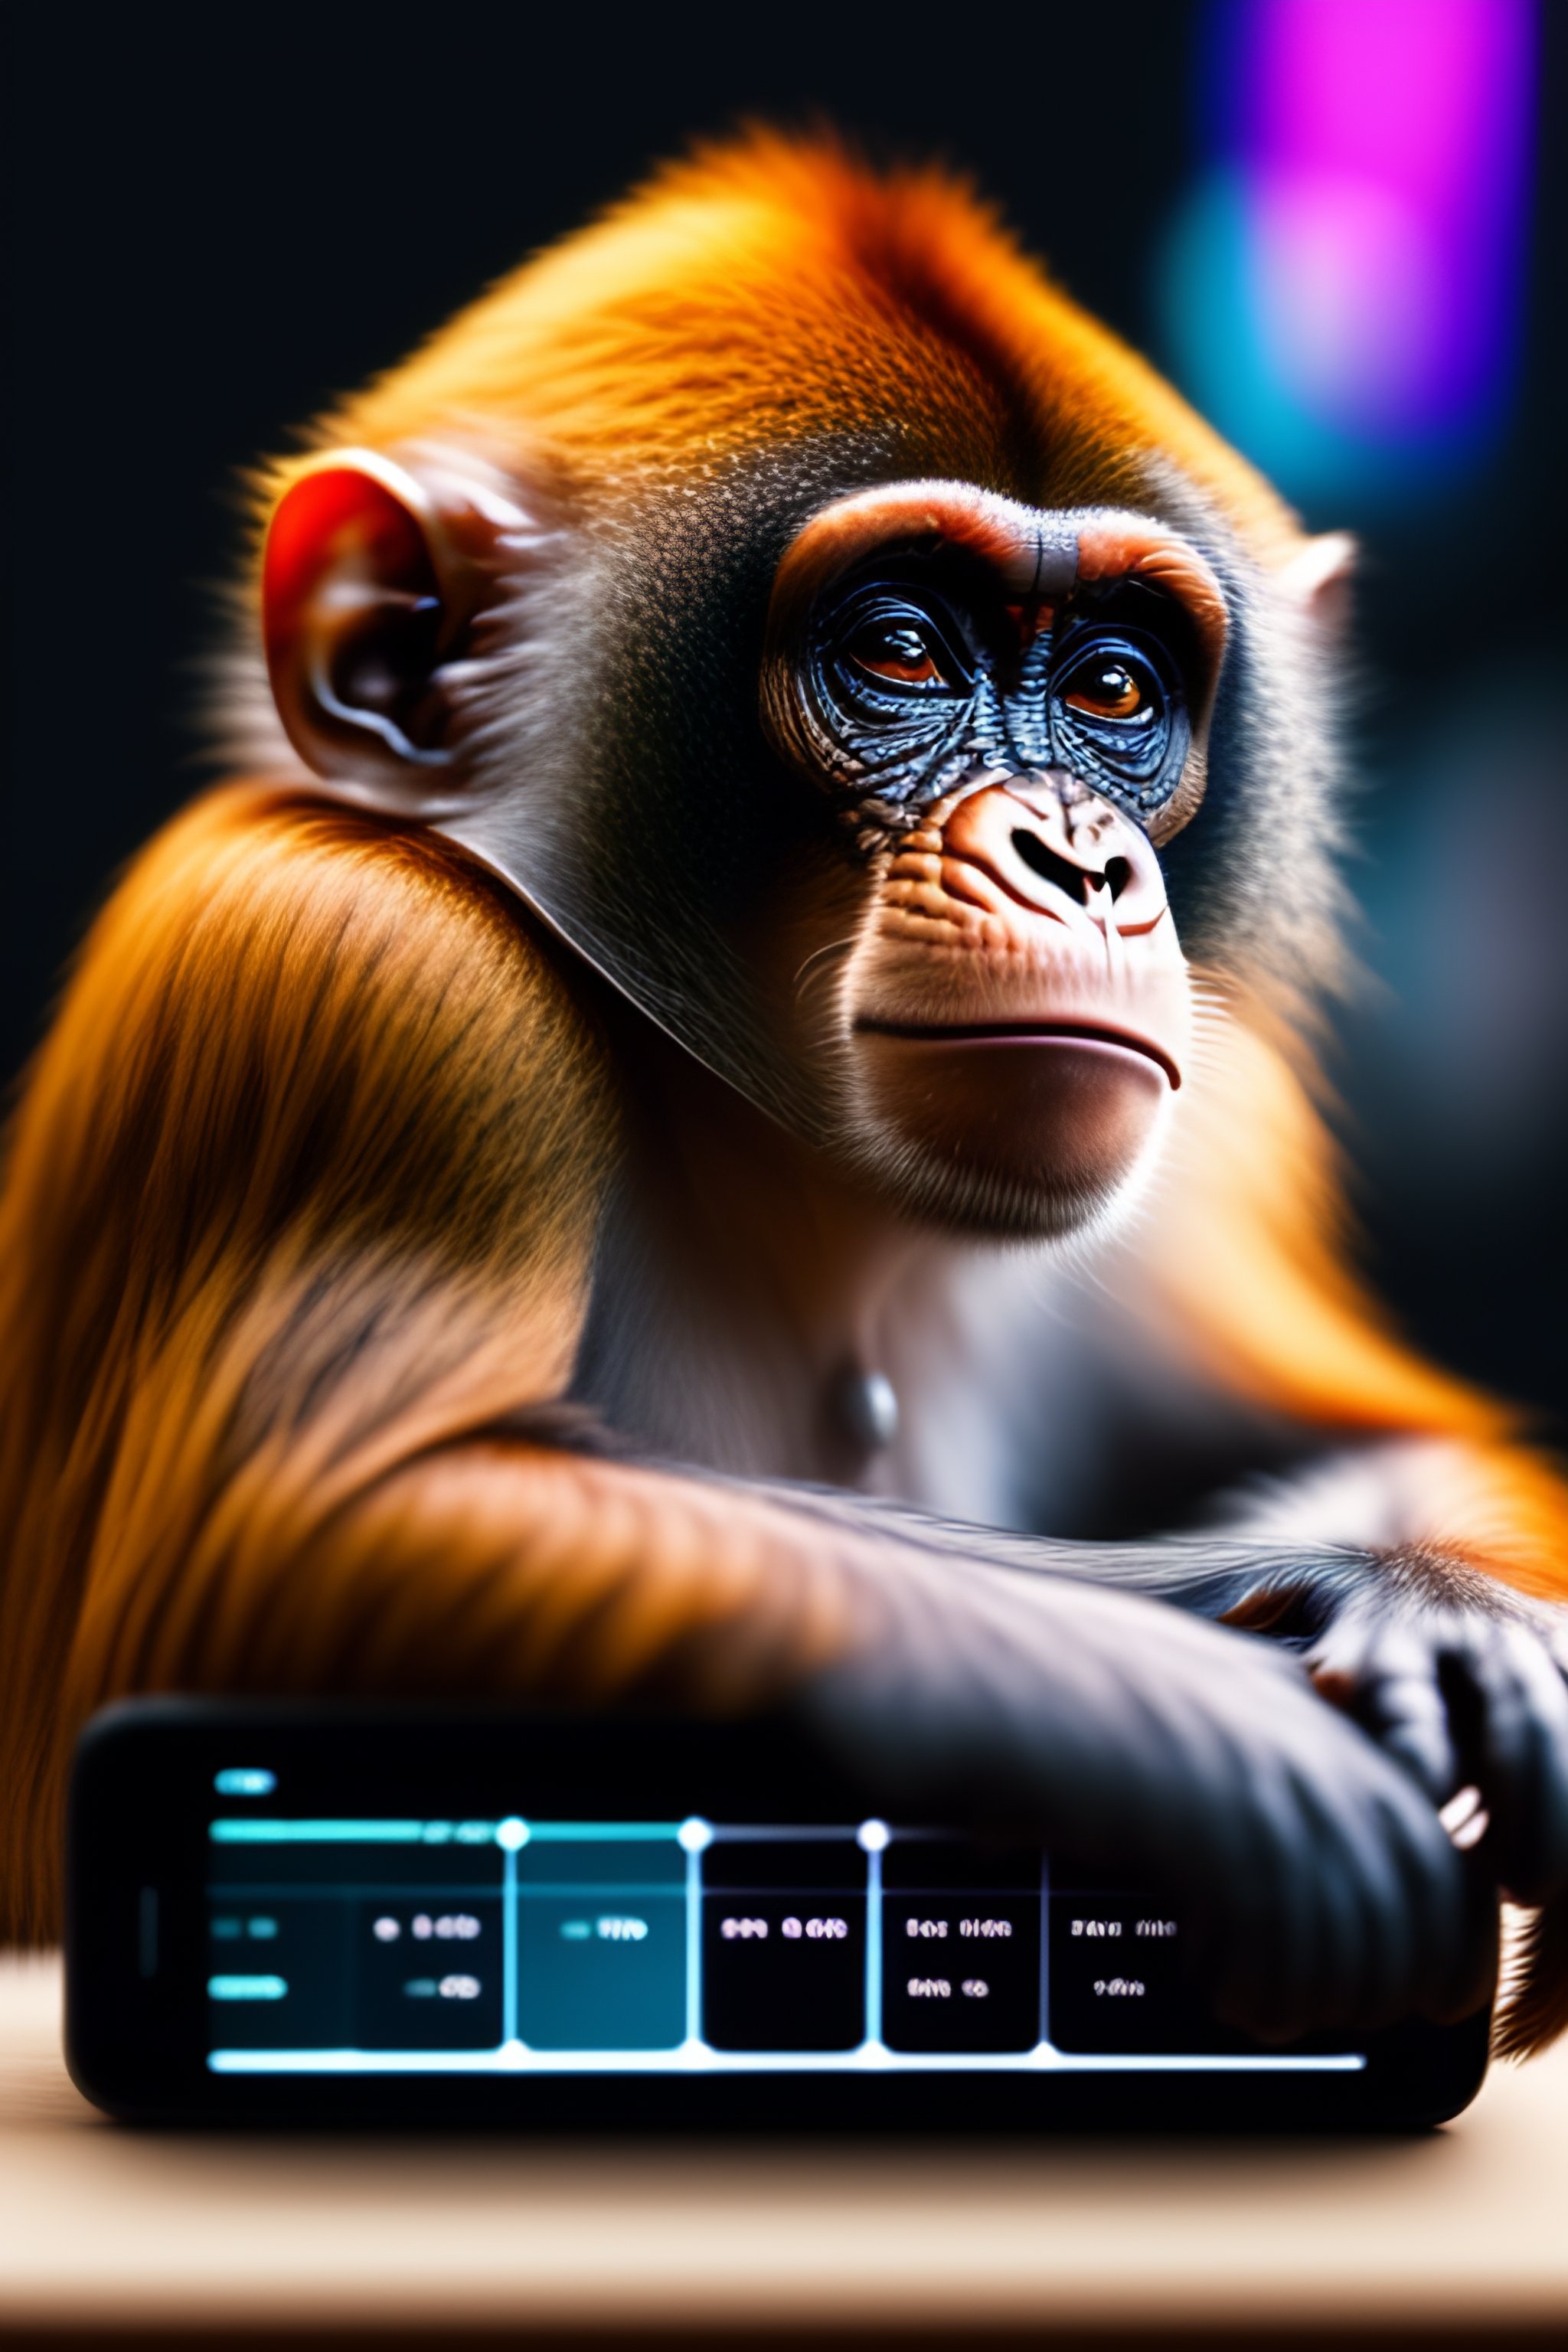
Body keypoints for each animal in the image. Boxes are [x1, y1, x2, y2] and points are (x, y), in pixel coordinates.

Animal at [3, 131, 1568, 2054]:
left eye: (1113, 685)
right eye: (898, 653)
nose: (1078, 861)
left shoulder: (1215, 1135)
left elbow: (1359, 1431)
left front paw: (1439, 1606)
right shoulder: (344, 953)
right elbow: (322, 1519)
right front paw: (1227, 1695)